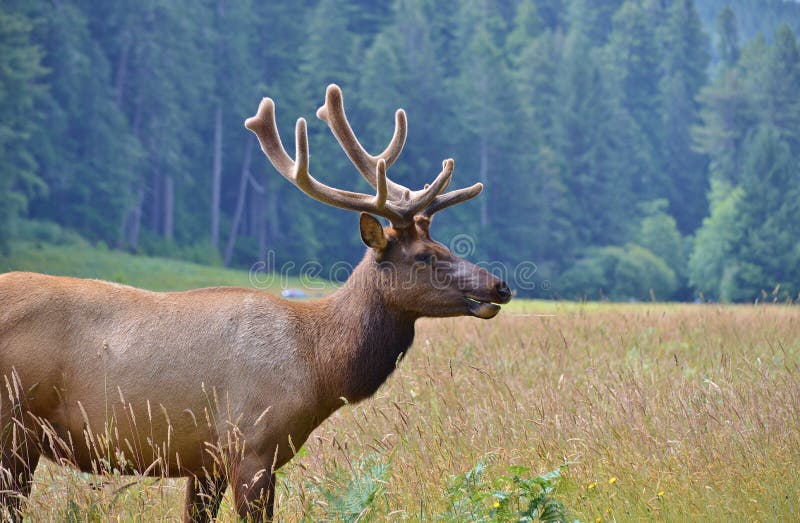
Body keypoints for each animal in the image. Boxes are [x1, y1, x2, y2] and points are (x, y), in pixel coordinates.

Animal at [0, 84, 511, 521]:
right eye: (426, 256)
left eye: (444, 245)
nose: (499, 286)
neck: (319, 365)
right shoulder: (251, 446)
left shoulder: (205, 462)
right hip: (14, 429)